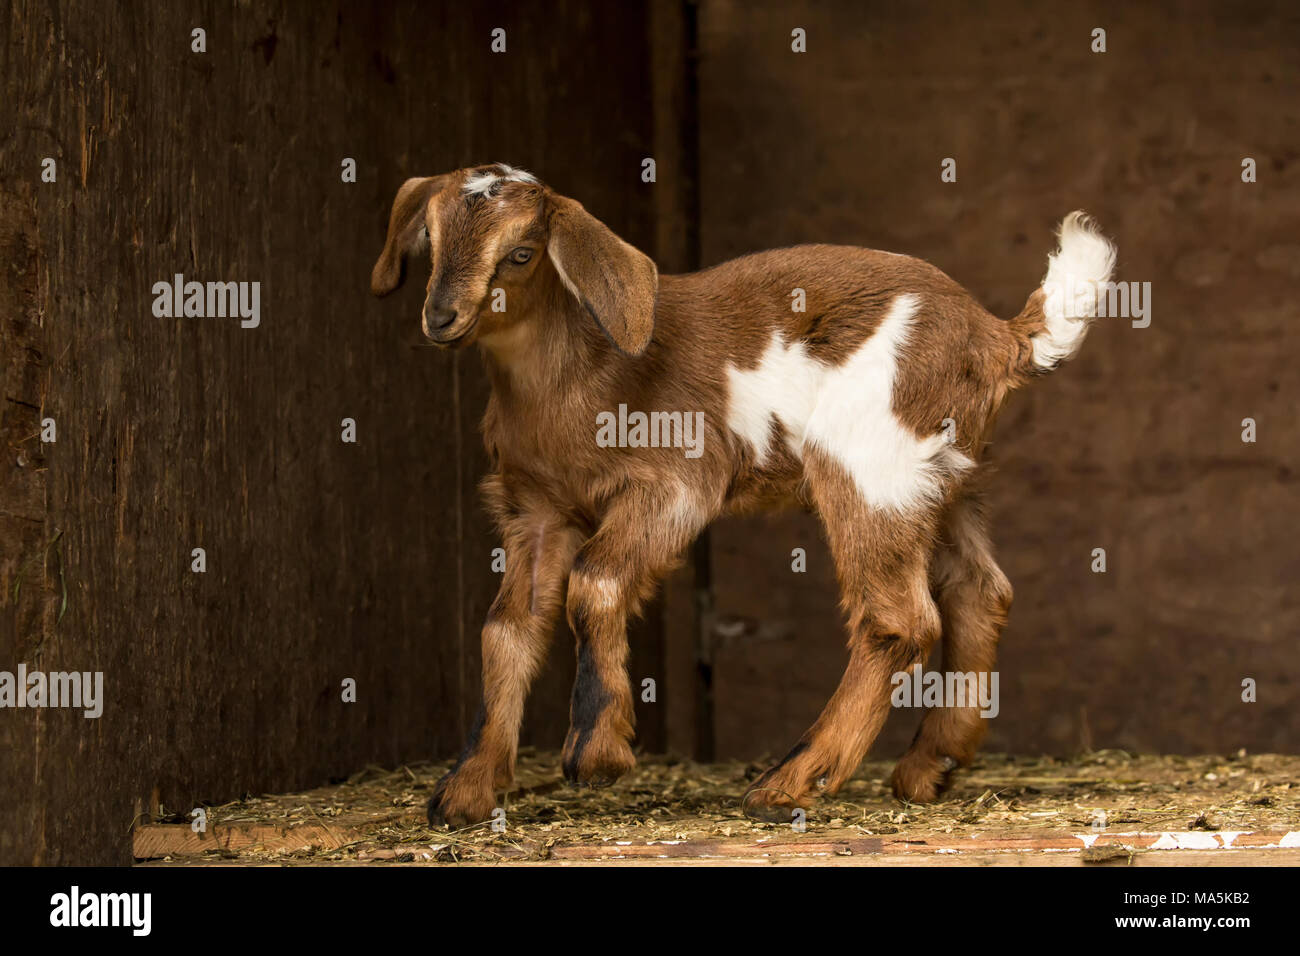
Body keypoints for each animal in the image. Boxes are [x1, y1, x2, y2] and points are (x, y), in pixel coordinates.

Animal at [371, 163, 1116, 827]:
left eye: (521, 254)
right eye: (429, 241)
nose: (441, 316)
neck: (574, 375)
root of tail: (997, 337)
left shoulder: (676, 481)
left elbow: (594, 581)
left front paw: (598, 752)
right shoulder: (534, 511)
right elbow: (507, 628)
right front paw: (464, 792)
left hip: (871, 465)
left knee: (900, 619)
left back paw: (791, 780)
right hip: (945, 479)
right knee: (979, 592)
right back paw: (928, 767)